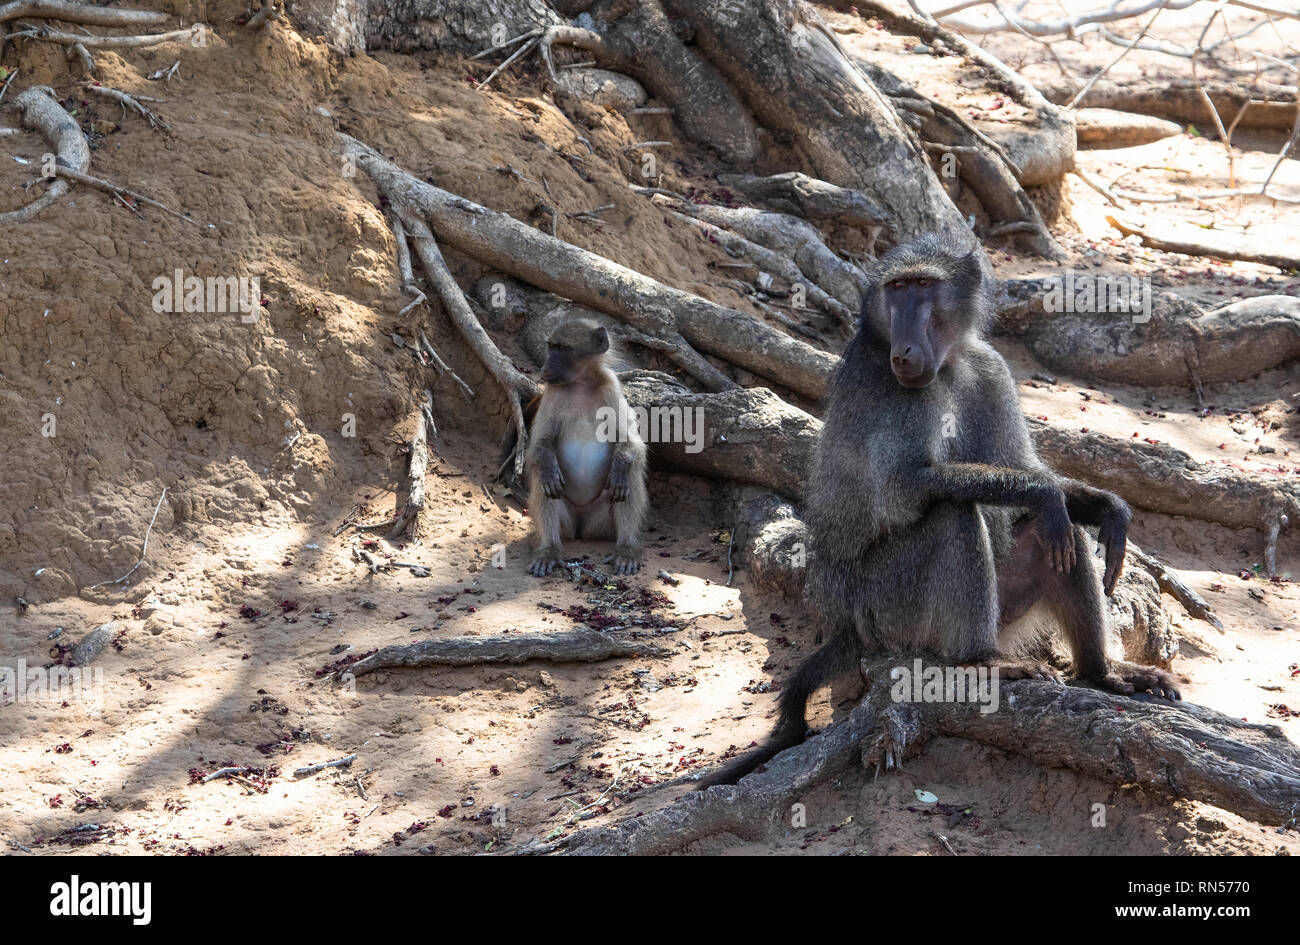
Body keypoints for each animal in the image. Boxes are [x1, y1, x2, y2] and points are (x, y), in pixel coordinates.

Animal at [526, 318, 647, 577]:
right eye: (551, 346)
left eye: (562, 348)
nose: (546, 367)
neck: (580, 382)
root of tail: (581, 528)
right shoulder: (551, 391)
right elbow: (540, 445)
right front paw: (549, 468)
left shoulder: (611, 386)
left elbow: (633, 444)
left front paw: (621, 464)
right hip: (568, 523)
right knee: (542, 477)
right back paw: (549, 550)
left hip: (601, 522)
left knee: (629, 475)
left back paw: (626, 549)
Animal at [699, 233, 1180, 788]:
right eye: (897, 288)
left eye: (923, 286)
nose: (904, 349)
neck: (947, 363)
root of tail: (848, 623)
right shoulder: (891, 389)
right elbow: (909, 485)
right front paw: (1043, 492)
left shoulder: (990, 368)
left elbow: (1023, 467)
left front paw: (1109, 508)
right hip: (890, 611)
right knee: (956, 514)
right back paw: (982, 662)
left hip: (1003, 607)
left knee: (1057, 536)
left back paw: (1100, 673)